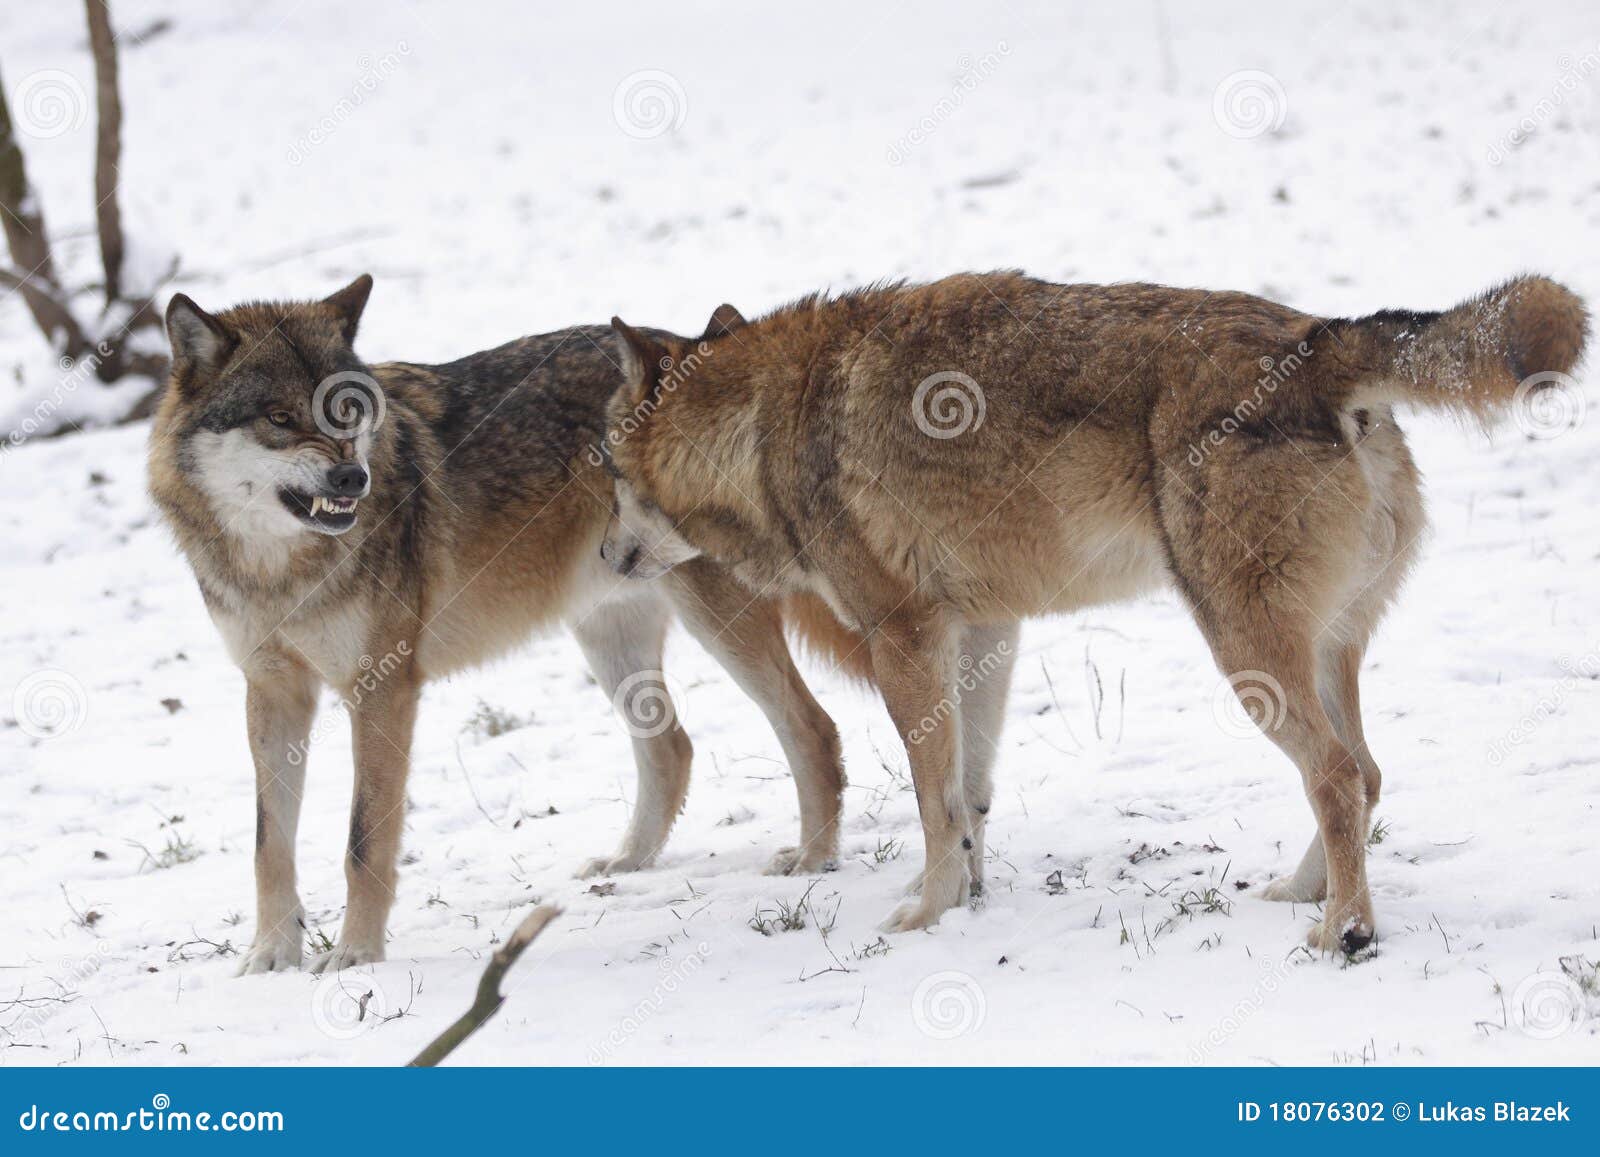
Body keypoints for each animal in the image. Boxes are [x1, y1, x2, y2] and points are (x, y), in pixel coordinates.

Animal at [147, 277, 847, 974]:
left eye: (347, 414)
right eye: (279, 418)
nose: (352, 476)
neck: (278, 567)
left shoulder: (381, 690)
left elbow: (362, 842)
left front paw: (355, 956)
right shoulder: (273, 691)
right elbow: (269, 845)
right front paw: (270, 955)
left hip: (712, 618)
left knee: (811, 724)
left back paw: (813, 858)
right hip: (606, 636)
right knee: (672, 748)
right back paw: (628, 861)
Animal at [598, 271, 1587, 952]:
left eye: (607, 471)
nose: (604, 559)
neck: (766, 424)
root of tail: (1317, 339)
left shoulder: (902, 639)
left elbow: (930, 802)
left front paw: (921, 916)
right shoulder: (981, 634)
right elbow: (969, 798)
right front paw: (969, 902)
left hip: (1246, 659)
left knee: (1339, 775)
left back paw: (1346, 931)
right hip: (1316, 653)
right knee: (1365, 771)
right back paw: (1304, 896)